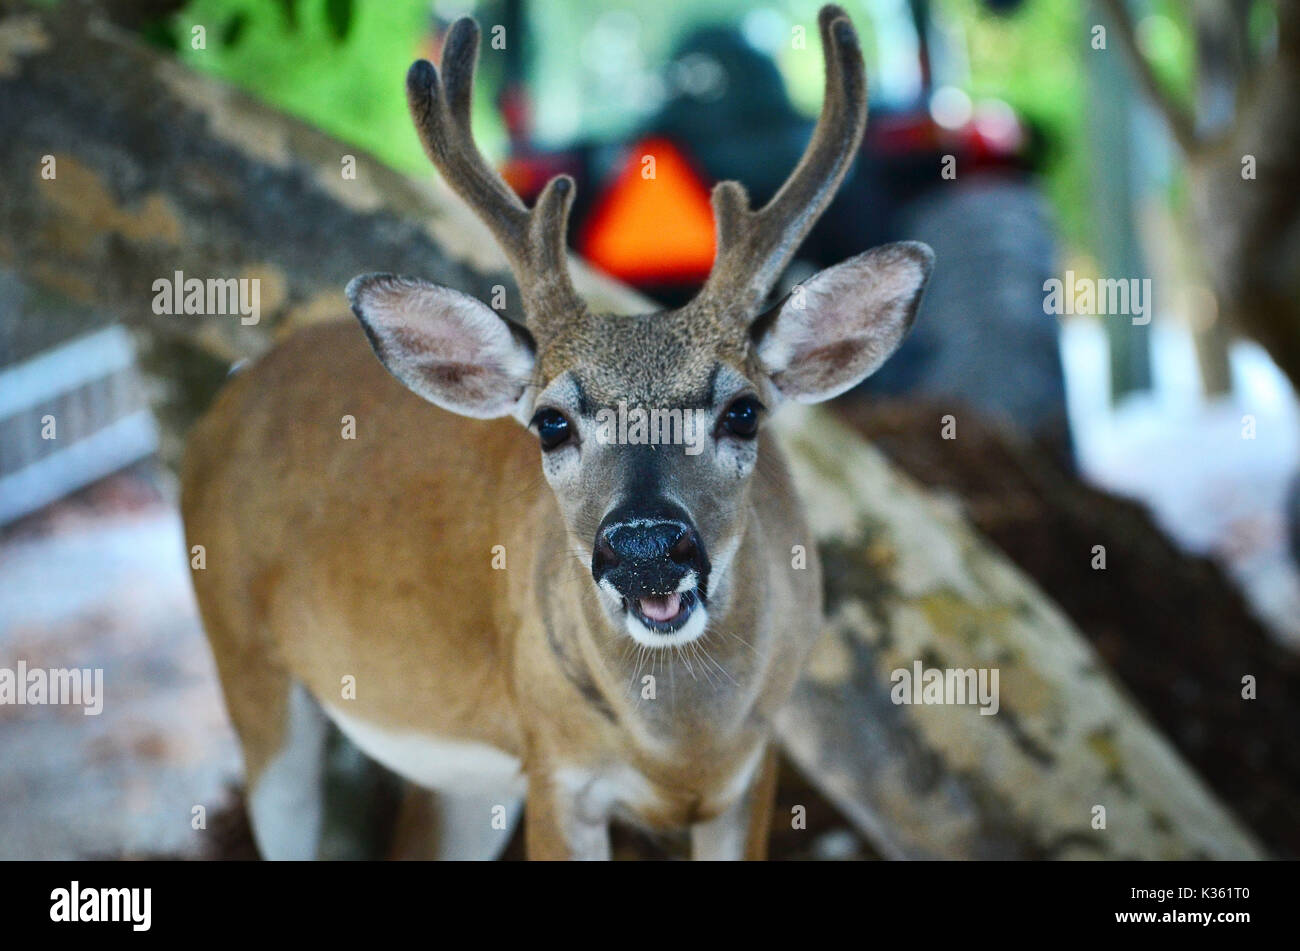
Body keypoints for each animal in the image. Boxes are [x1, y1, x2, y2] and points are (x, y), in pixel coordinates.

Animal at [181, 4, 932, 861]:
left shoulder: (754, 767)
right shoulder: (557, 763)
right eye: (551, 422)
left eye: (742, 409)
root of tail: (235, 389)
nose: (645, 545)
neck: (683, 748)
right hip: (245, 657)